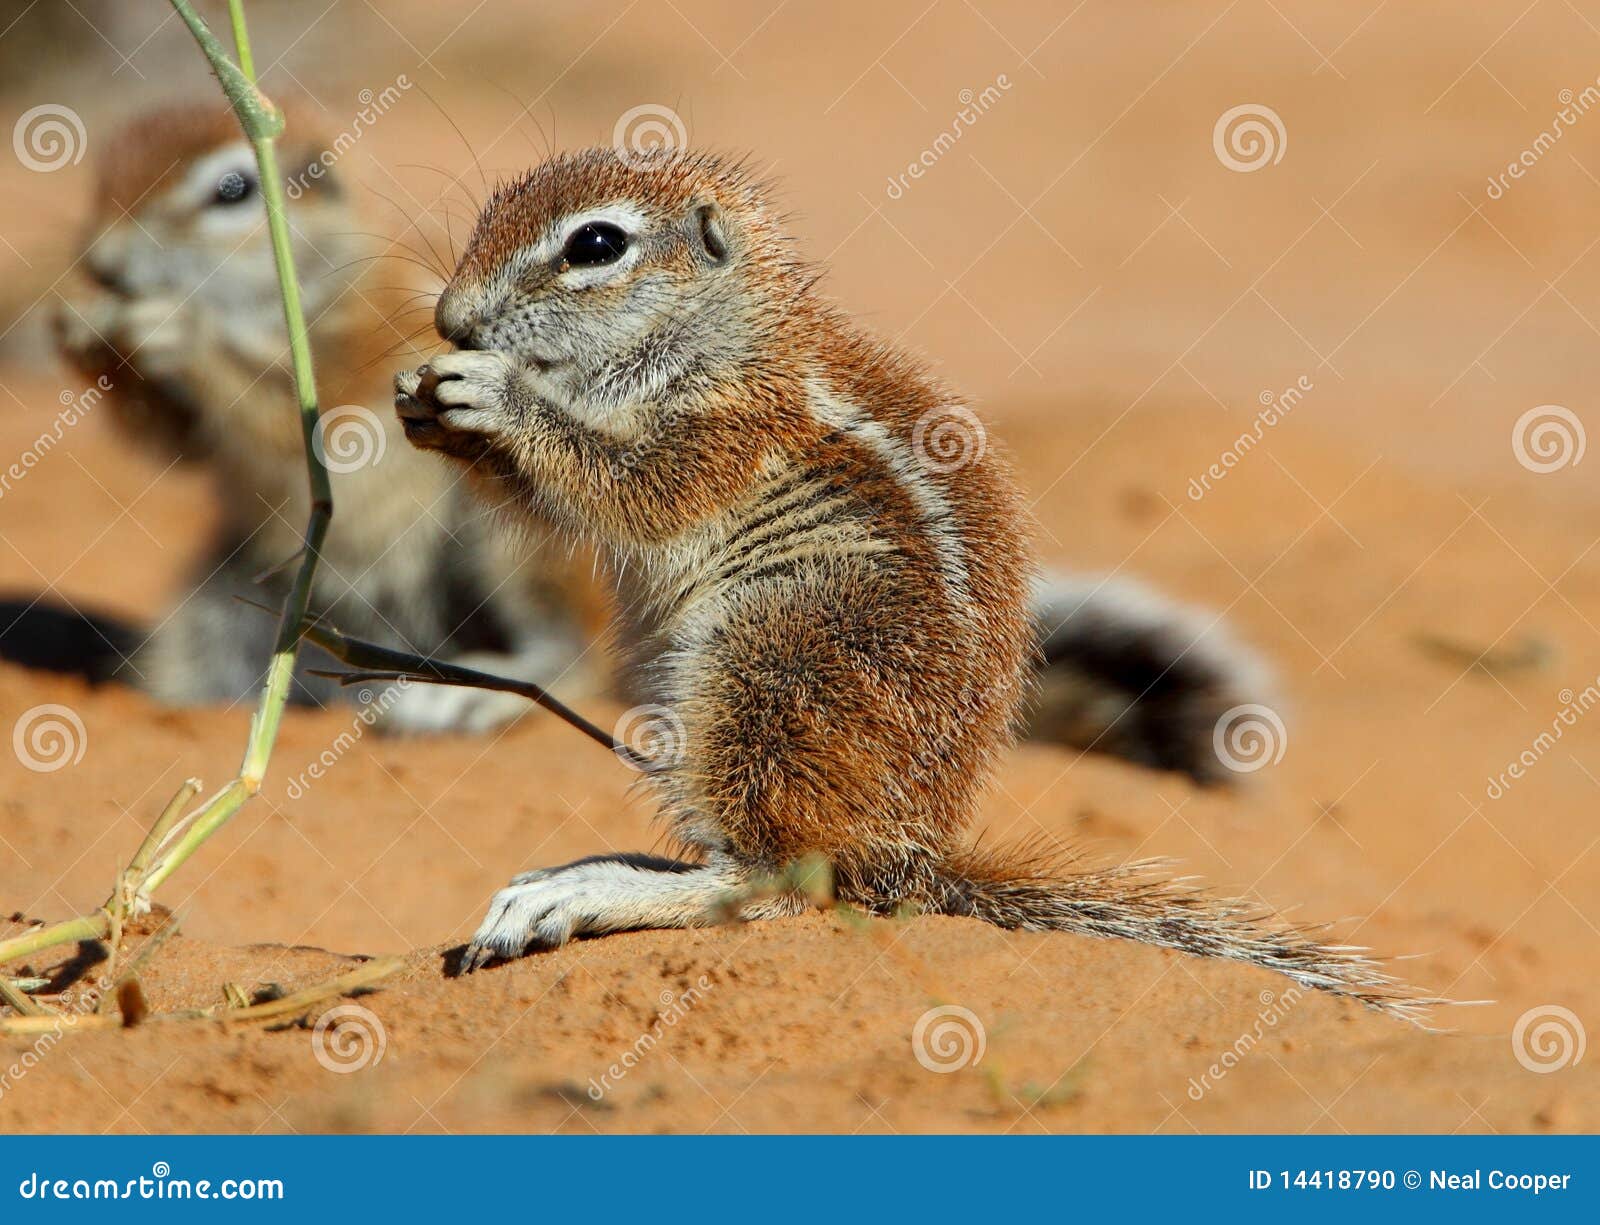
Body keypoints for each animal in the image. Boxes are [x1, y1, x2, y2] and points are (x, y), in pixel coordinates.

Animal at [47, 102, 603, 731]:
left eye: (232, 190)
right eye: (103, 177)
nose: (102, 263)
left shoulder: (356, 350)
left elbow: (290, 420)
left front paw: (180, 333)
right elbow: (183, 443)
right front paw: (82, 330)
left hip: (517, 547)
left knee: (577, 651)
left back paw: (473, 695)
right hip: (227, 605)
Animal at [394, 147, 1422, 1018]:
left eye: (595, 246)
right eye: (486, 212)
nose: (451, 319)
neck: (715, 336)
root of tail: (913, 862)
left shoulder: (725, 430)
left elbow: (623, 484)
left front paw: (493, 395)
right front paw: (421, 401)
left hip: (771, 657)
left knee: (784, 882)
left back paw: (596, 891)